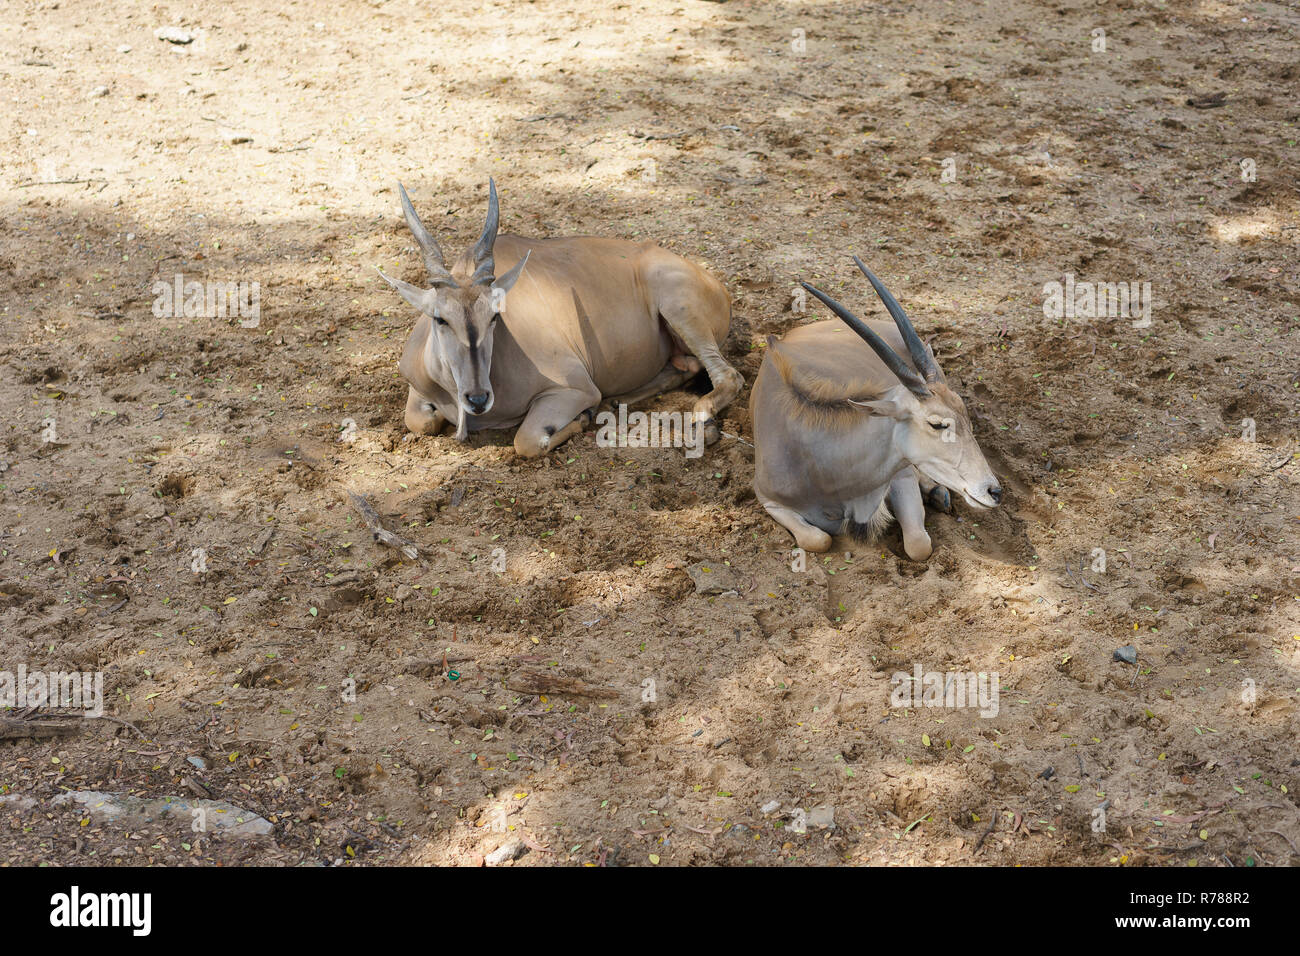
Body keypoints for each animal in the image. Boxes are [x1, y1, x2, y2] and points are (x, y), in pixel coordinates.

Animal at [379, 180, 742, 457]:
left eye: (495, 316)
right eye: (440, 319)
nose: (478, 398)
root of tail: (719, 287)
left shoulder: (576, 389)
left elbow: (527, 441)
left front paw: (583, 418)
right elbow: (420, 421)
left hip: (678, 306)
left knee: (728, 377)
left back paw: (700, 423)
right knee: (687, 366)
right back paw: (619, 401)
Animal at [750, 256, 1002, 560]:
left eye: (965, 417)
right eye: (937, 423)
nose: (993, 491)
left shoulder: (900, 475)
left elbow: (918, 545)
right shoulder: (768, 500)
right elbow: (817, 539)